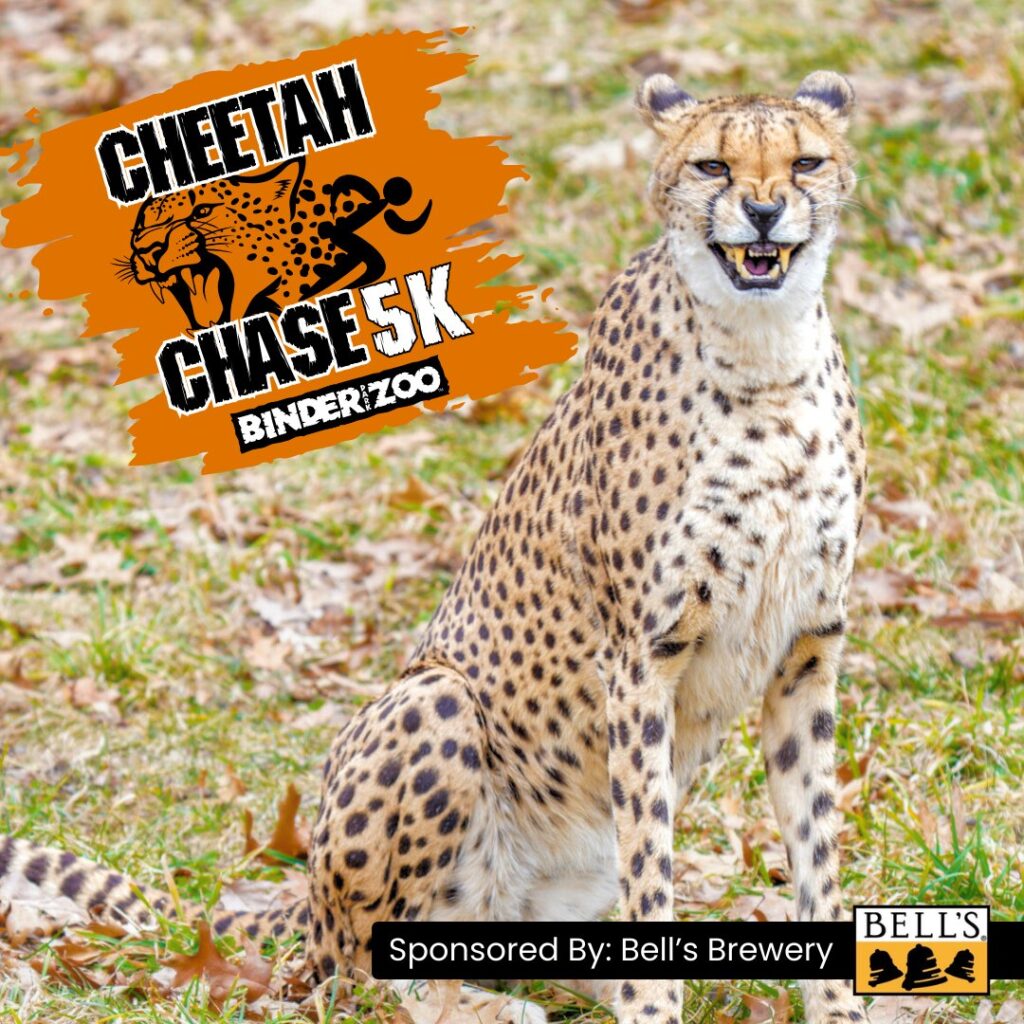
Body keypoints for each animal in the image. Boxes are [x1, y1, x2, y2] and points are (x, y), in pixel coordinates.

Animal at [2, 70, 868, 1024]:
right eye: (713, 165)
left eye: (806, 161)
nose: (763, 211)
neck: (767, 357)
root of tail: (307, 897)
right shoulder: (642, 659)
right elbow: (651, 861)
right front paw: (654, 1009)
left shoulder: (806, 653)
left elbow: (815, 845)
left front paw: (837, 1008)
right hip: (435, 703)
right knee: (357, 974)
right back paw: (482, 1003)